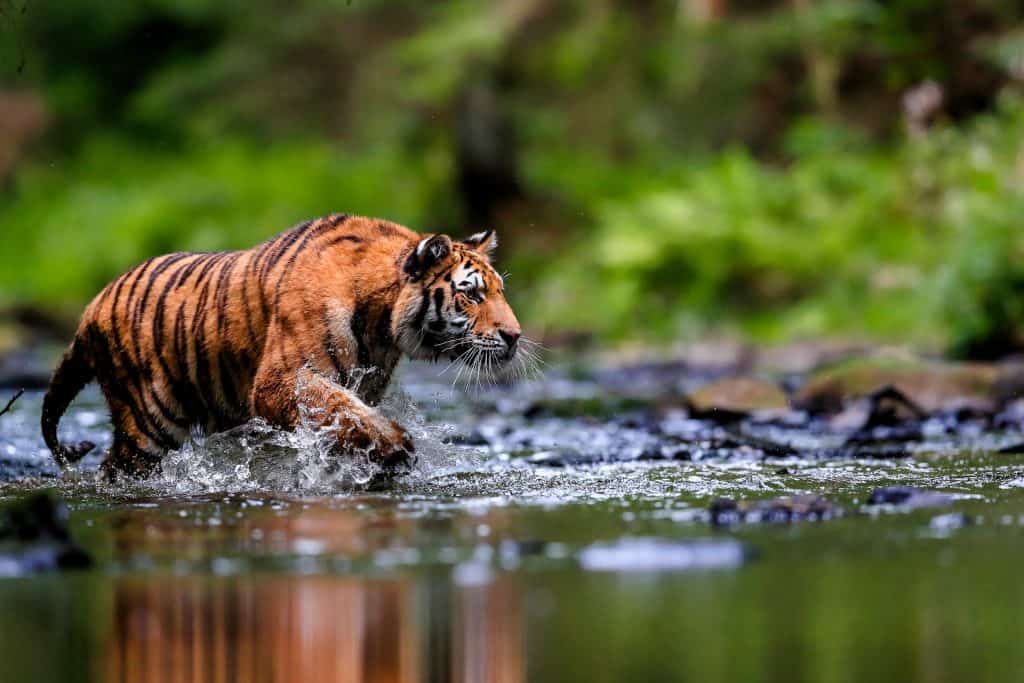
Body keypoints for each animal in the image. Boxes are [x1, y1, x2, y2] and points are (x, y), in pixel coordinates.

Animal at [40, 214, 522, 479]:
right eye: (472, 295)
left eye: (499, 291)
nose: (515, 336)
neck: (382, 324)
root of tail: (90, 309)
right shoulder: (282, 378)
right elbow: (341, 409)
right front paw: (395, 446)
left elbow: (346, 418)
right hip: (148, 424)